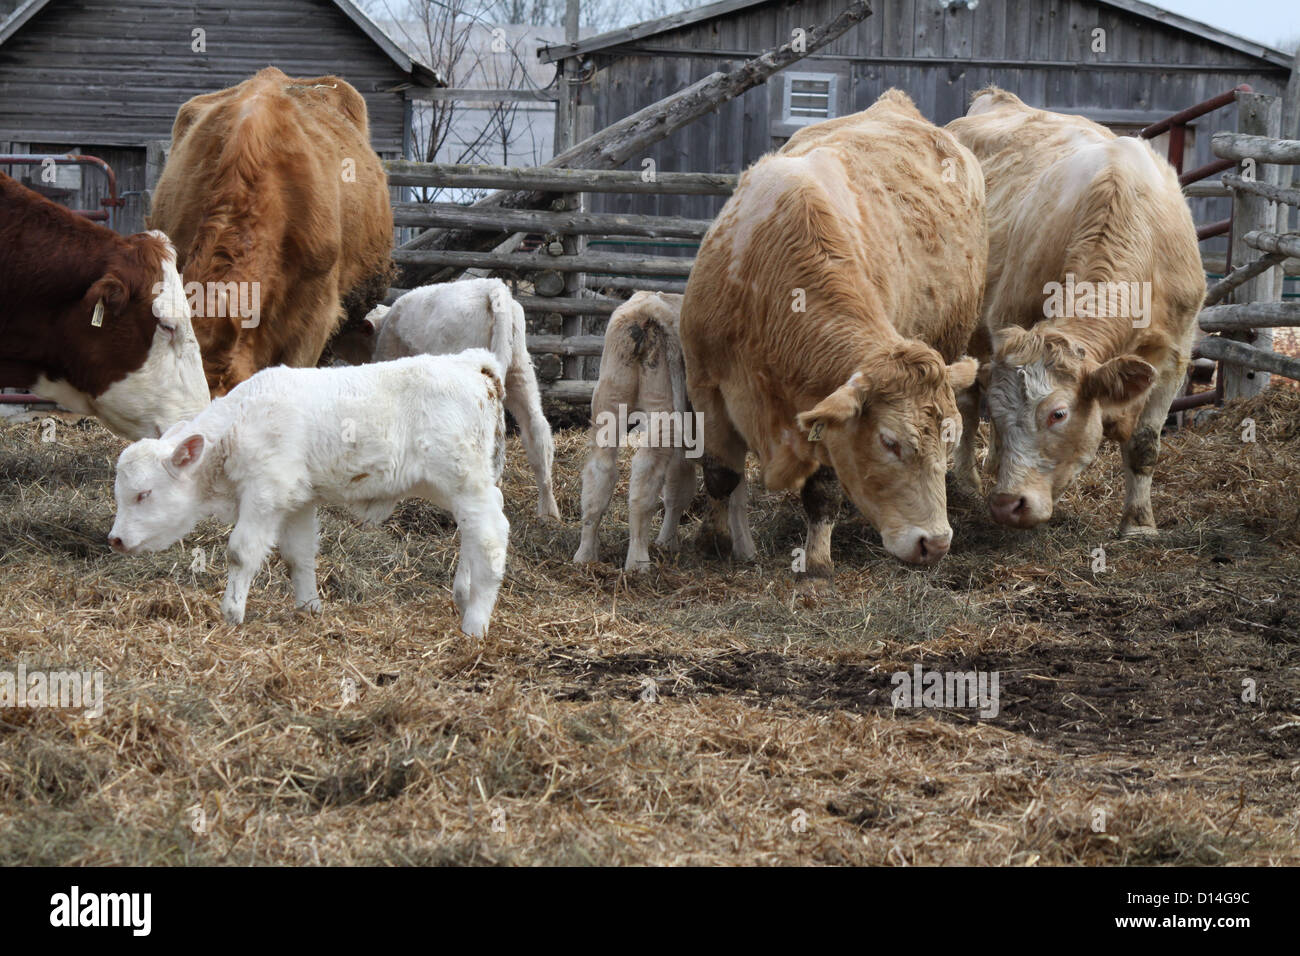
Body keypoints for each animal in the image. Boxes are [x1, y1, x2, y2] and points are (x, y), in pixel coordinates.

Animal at [107, 352, 510, 637]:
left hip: (463, 479)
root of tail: (472, 363)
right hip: (454, 487)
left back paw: (475, 624)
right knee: (479, 527)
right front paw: (308, 608)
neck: (243, 421)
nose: (115, 539)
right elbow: (297, 556)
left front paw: (232, 612)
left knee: (490, 537)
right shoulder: (297, 500)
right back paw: (463, 594)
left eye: (143, 494)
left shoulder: (265, 494)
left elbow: (240, 552)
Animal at [573, 291, 698, 571]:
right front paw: (668, 542)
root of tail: (647, 308)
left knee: (600, 471)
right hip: (664, 411)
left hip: (609, 401)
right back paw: (638, 562)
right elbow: (680, 486)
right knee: (644, 476)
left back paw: (585, 555)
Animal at [680, 89, 986, 576]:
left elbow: (823, 490)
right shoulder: (705, 383)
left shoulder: (822, 406)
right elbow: (720, 473)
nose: (935, 543)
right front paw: (713, 540)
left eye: (948, 437)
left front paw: (818, 560)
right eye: (889, 442)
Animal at [946, 88, 1204, 534]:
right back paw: (968, 480)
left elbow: (1144, 445)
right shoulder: (1006, 321)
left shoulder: (1175, 354)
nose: (1007, 505)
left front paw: (1138, 523)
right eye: (1002, 412)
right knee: (966, 402)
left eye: (1058, 414)